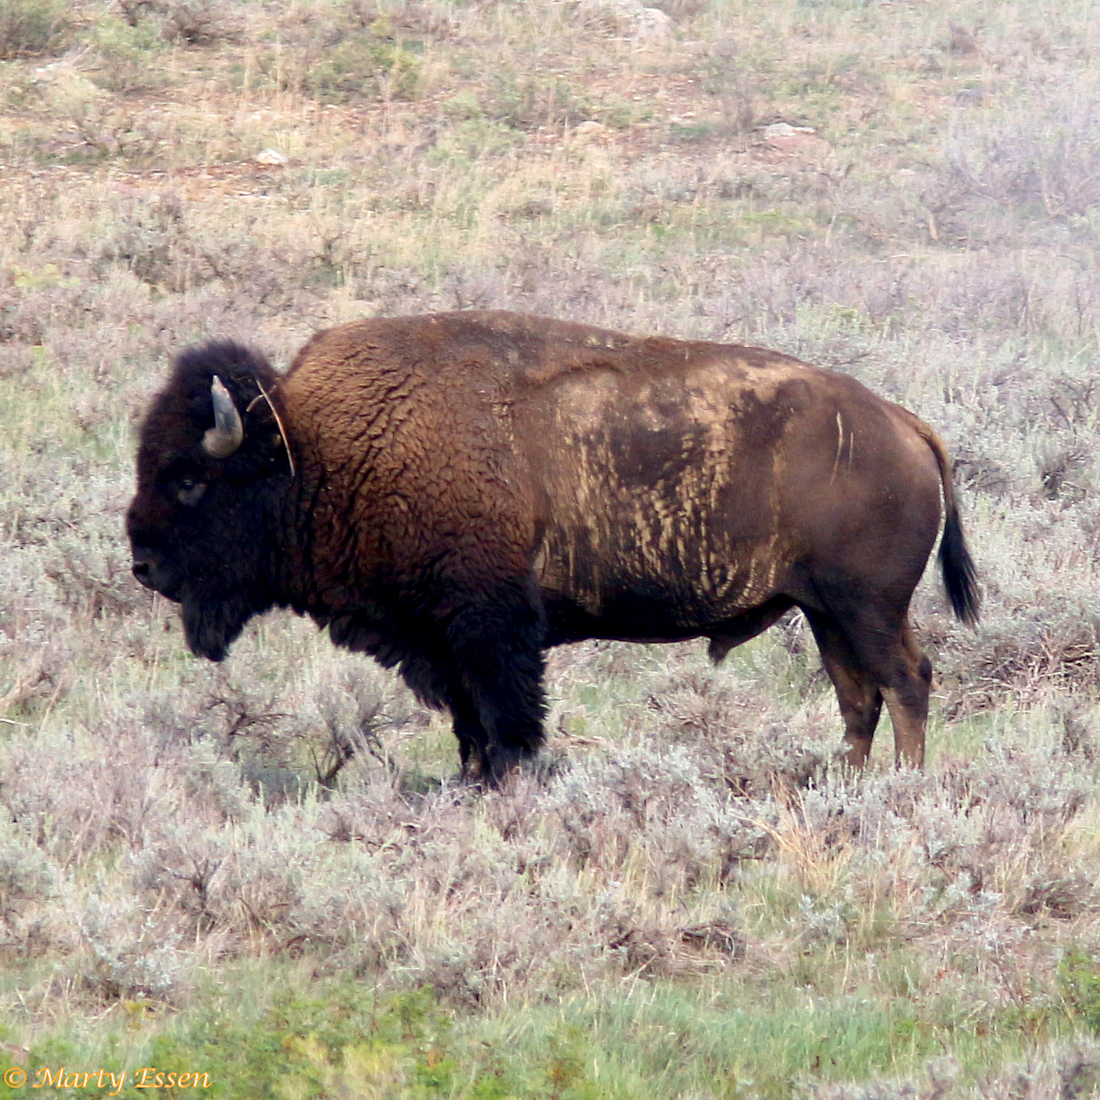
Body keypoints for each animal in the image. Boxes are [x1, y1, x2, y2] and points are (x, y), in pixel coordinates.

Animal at [127, 310, 978, 781]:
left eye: (190, 480)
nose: (143, 564)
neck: (315, 449)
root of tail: (903, 424)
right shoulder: (440, 641)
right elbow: (470, 726)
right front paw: (472, 783)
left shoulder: (489, 629)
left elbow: (507, 722)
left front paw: (505, 785)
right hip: (823, 610)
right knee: (858, 695)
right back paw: (846, 786)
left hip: (866, 606)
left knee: (904, 681)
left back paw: (902, 788)